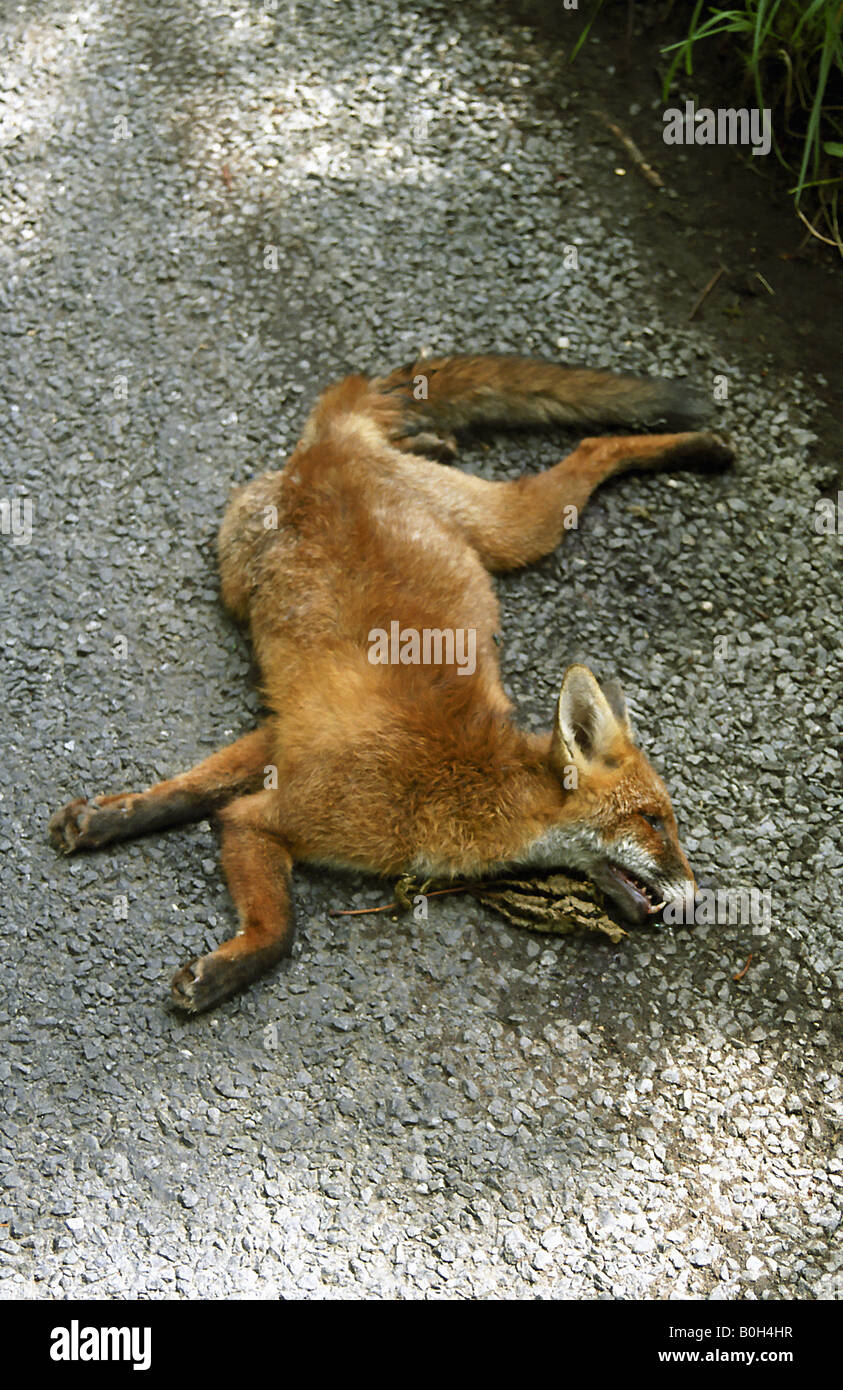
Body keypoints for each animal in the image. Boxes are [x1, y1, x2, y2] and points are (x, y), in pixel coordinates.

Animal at [49, 353, 733, 1013]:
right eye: (654, 821)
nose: (699, 897)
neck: (477, 783)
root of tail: (334, 445)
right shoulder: (270, 815)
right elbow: (276, 922)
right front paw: (224, 966)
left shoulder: (283, 735)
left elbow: (191, 790)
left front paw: (108, 818)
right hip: (516, 531)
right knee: (593, 446)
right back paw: (706, 445)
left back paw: (436, 438)